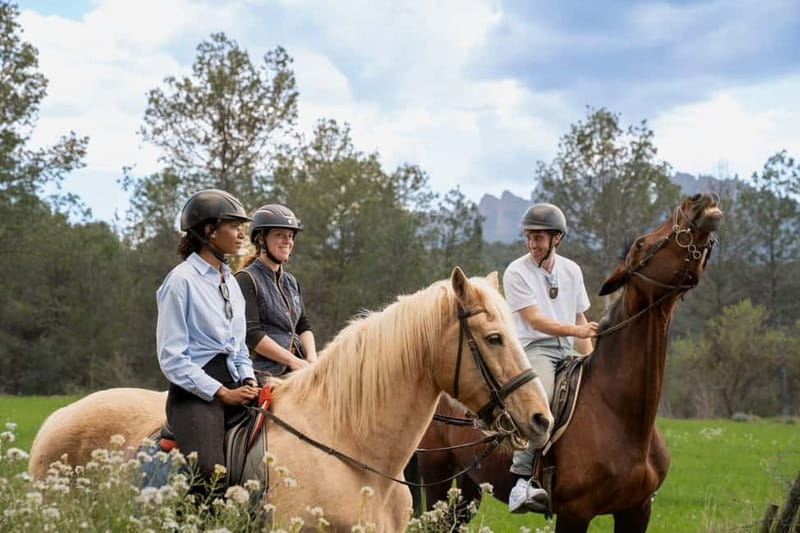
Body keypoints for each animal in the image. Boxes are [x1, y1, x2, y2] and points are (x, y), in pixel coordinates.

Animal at [412, 193, 723, 532]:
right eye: (641, 244)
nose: (699, 200)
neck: (619, 413)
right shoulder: (575, 513)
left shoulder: (637, 511)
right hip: (437, 477)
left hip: (469, 485)